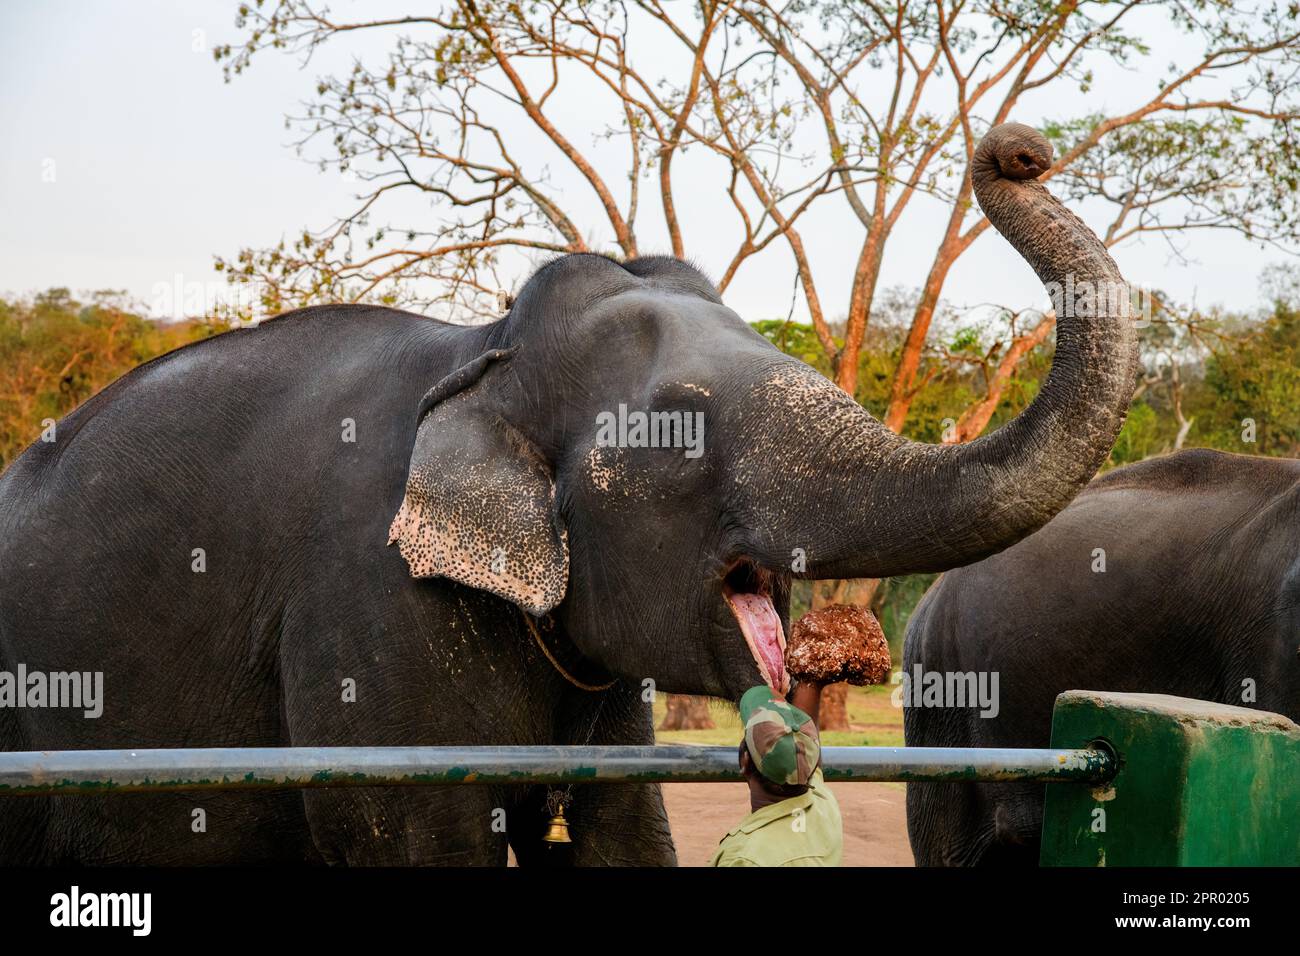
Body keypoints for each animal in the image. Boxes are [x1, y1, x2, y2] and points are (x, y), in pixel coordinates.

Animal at [0, 122, 1138, 865]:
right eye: (681, 427)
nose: (1022, 148)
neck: (483, 352)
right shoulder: (365, 606)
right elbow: (416, 836)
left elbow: (623, 832)